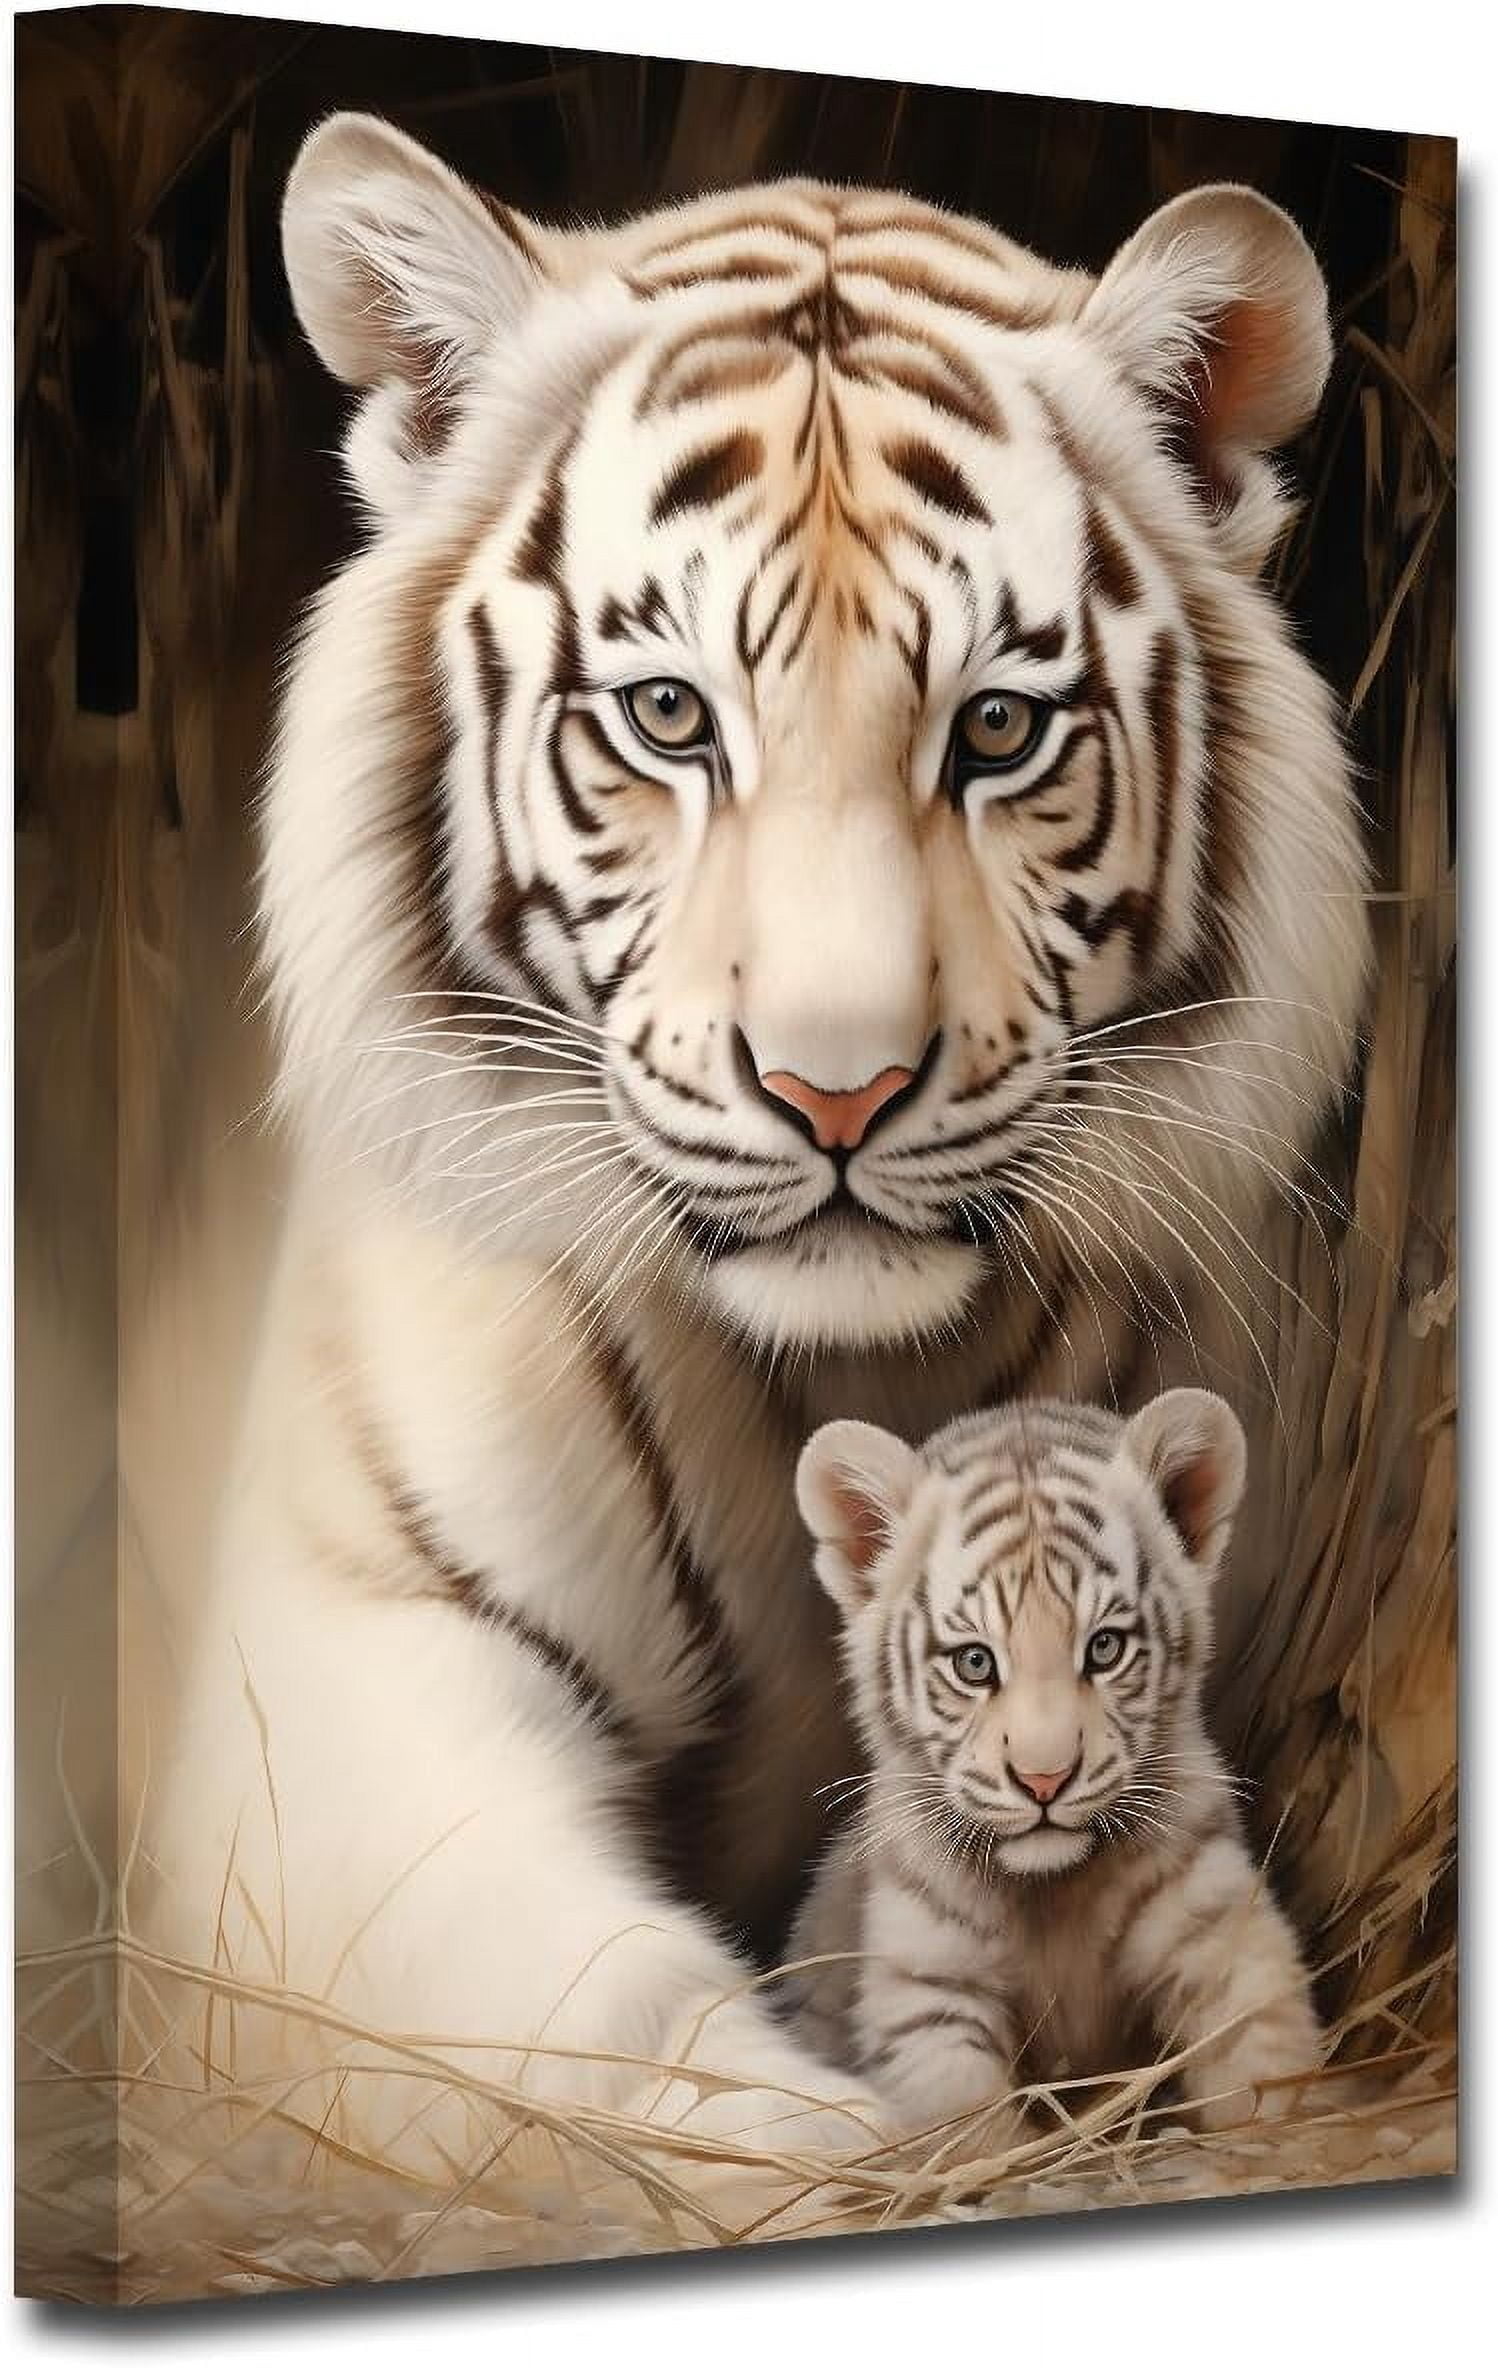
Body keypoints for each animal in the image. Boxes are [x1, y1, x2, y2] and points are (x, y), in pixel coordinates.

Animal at [786, 1390, 1322, 2141]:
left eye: (1104, 1648)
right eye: (974, 1662)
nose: (1044, 1779)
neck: (1052, 1891)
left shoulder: (1220, 1930)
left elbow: (1264, 2060)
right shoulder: (929, 1996)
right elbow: (968, 2127)